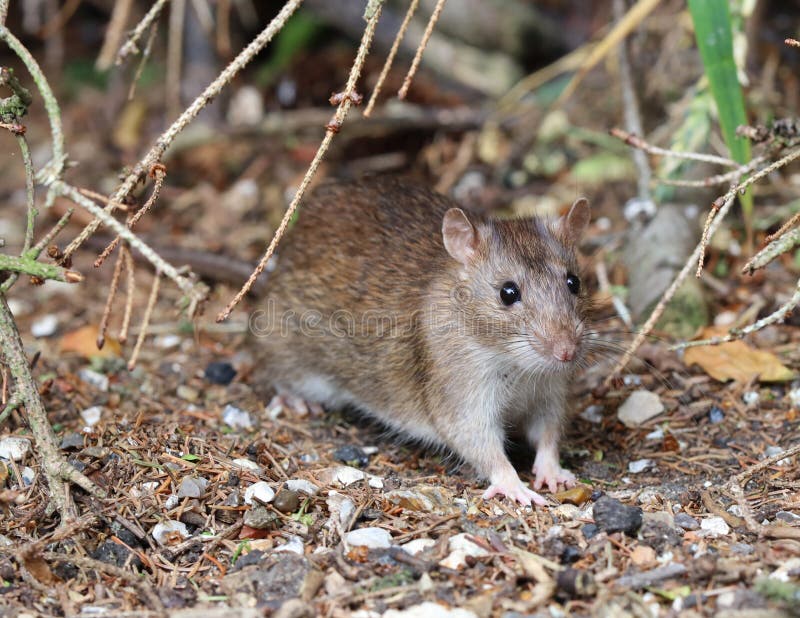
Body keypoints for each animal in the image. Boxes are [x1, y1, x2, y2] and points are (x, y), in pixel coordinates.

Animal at [250, 177, 591, 505]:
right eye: (508, 293)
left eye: (574, 282)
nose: (566, 353)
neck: (513, 362)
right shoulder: (461, 394)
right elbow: (482, 446)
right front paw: (514, 485)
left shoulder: (548, 392)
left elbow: (547, 434)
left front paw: (552, 471)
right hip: (286, 348)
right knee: (275, 371)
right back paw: (295, 399)